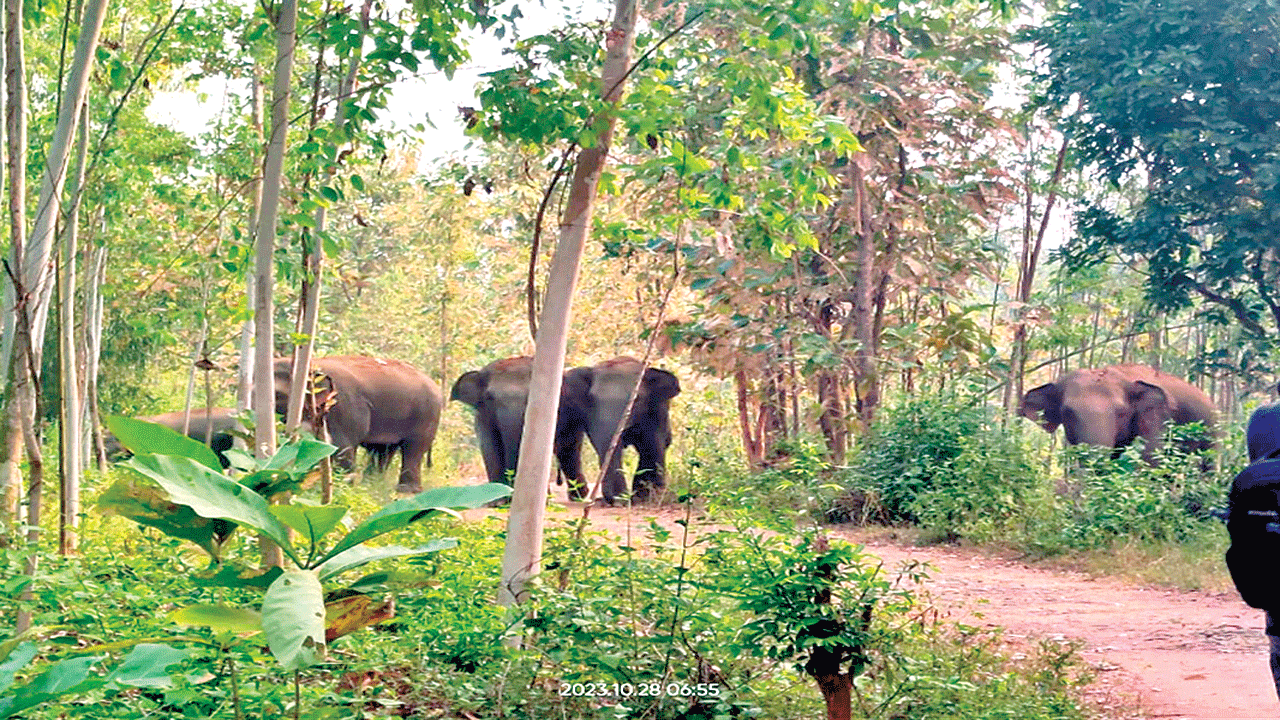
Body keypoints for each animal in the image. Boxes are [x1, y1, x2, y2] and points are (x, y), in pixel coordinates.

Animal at [273, 355, 442, 493]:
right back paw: (371, 483)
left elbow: (341, 447)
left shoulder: (343, 405)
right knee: (382, 450)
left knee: (413, 449)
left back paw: (406, 490)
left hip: (427, 414)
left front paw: (342, 487)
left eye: (277, 395)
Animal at [450, 356, 588, 496]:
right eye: (489, 397)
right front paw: (499, 496)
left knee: (570, 452)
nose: (511, 488)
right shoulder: (482, 420)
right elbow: (490, 451)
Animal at [568, 356, 681, 504]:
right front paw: (621, 500)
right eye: (591, 398)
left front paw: (646, 496)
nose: (615, 500)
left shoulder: (657, 411)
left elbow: (652, 446)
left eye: (636, 399)